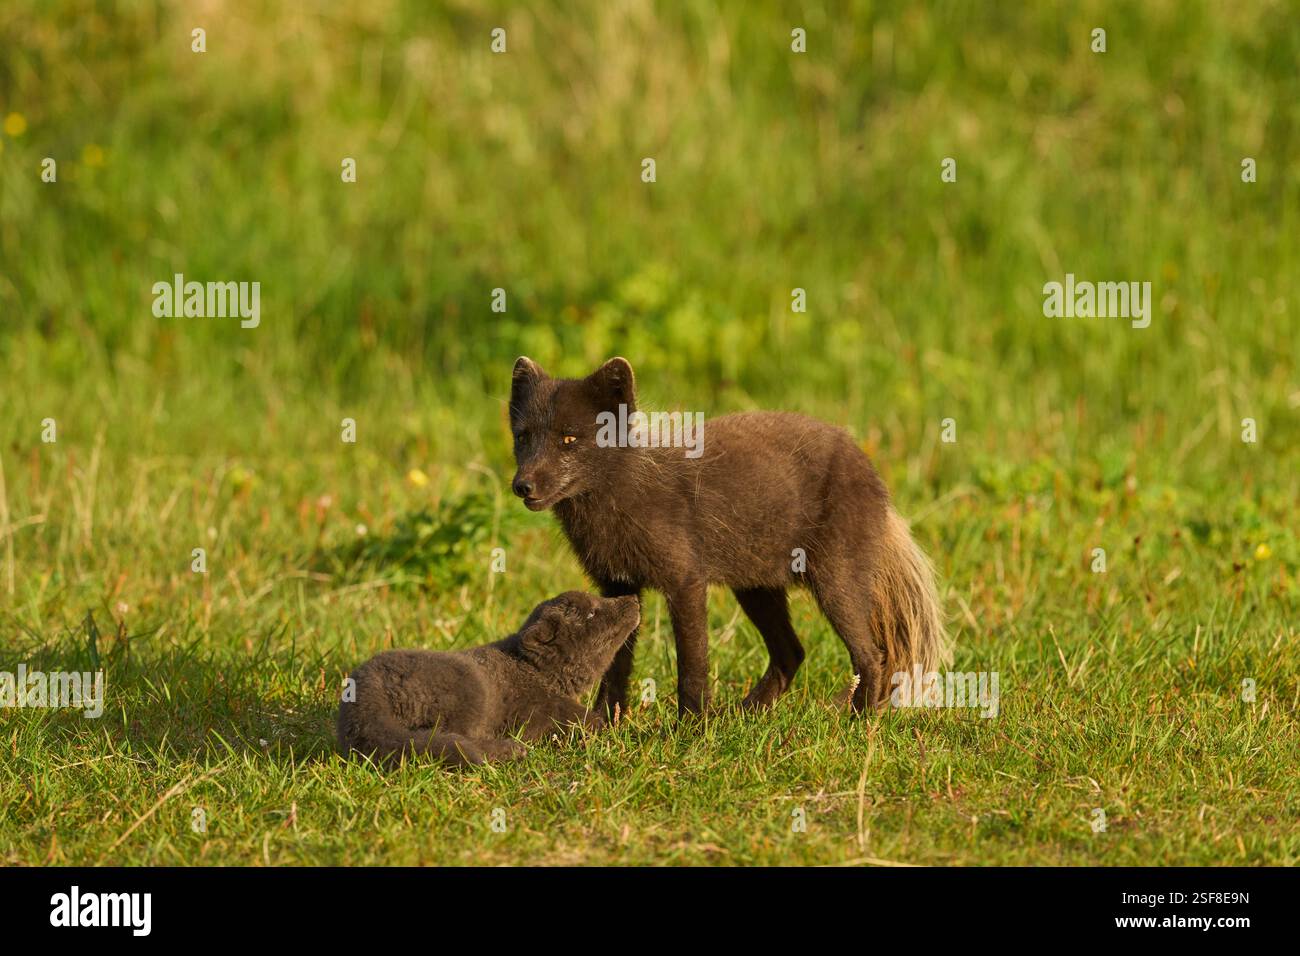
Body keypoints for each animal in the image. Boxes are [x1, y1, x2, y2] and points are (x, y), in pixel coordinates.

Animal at [337, 591, 641, 767]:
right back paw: (509, 751)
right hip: (469, 696)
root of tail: (362, 700)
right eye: (591, 612)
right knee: (457, 738)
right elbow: (580, 719)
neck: (532, 670)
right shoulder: (532, 713)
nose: (634, 599)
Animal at [508, 356, 951, 717]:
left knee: (871, 655)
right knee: (792, 652)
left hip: (835, 583)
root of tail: (868, 466)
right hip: (755, 586)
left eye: (569, 438)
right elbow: (616, 662)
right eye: (523, 436)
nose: (522, 486)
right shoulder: (616, 585)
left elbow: (692, 664)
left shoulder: (686, 580)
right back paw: (744, 715)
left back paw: (858, 722)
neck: (620, 493)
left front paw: (689, 729)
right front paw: (604, 725)